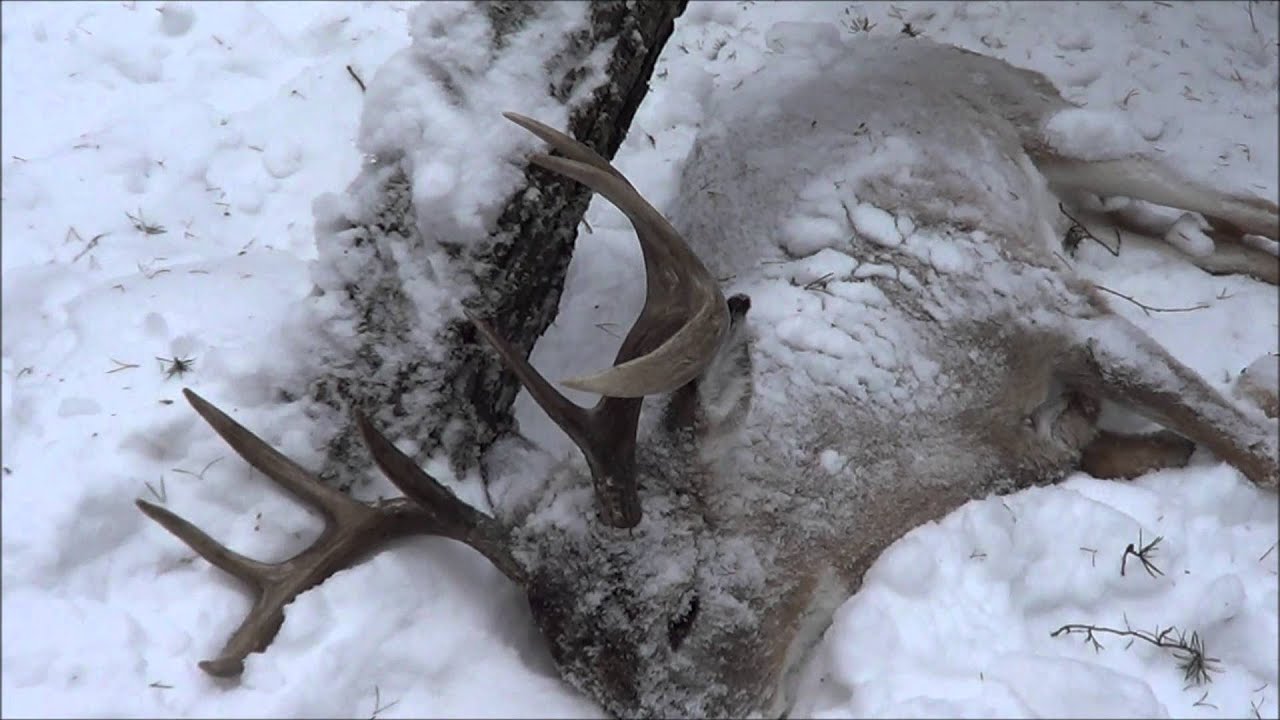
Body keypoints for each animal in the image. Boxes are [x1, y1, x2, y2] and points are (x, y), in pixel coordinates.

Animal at [135, 36, 1279, 718]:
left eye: (681, 612)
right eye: (594, 687)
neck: (923, 429)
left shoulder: (1031, 298)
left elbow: (1247, 448)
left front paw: (1244, 416)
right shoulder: (1038, 434)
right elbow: (1137, 446)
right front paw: (1182, 432)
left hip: (1058, 126)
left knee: (1228, 201)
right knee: (1192, 232)